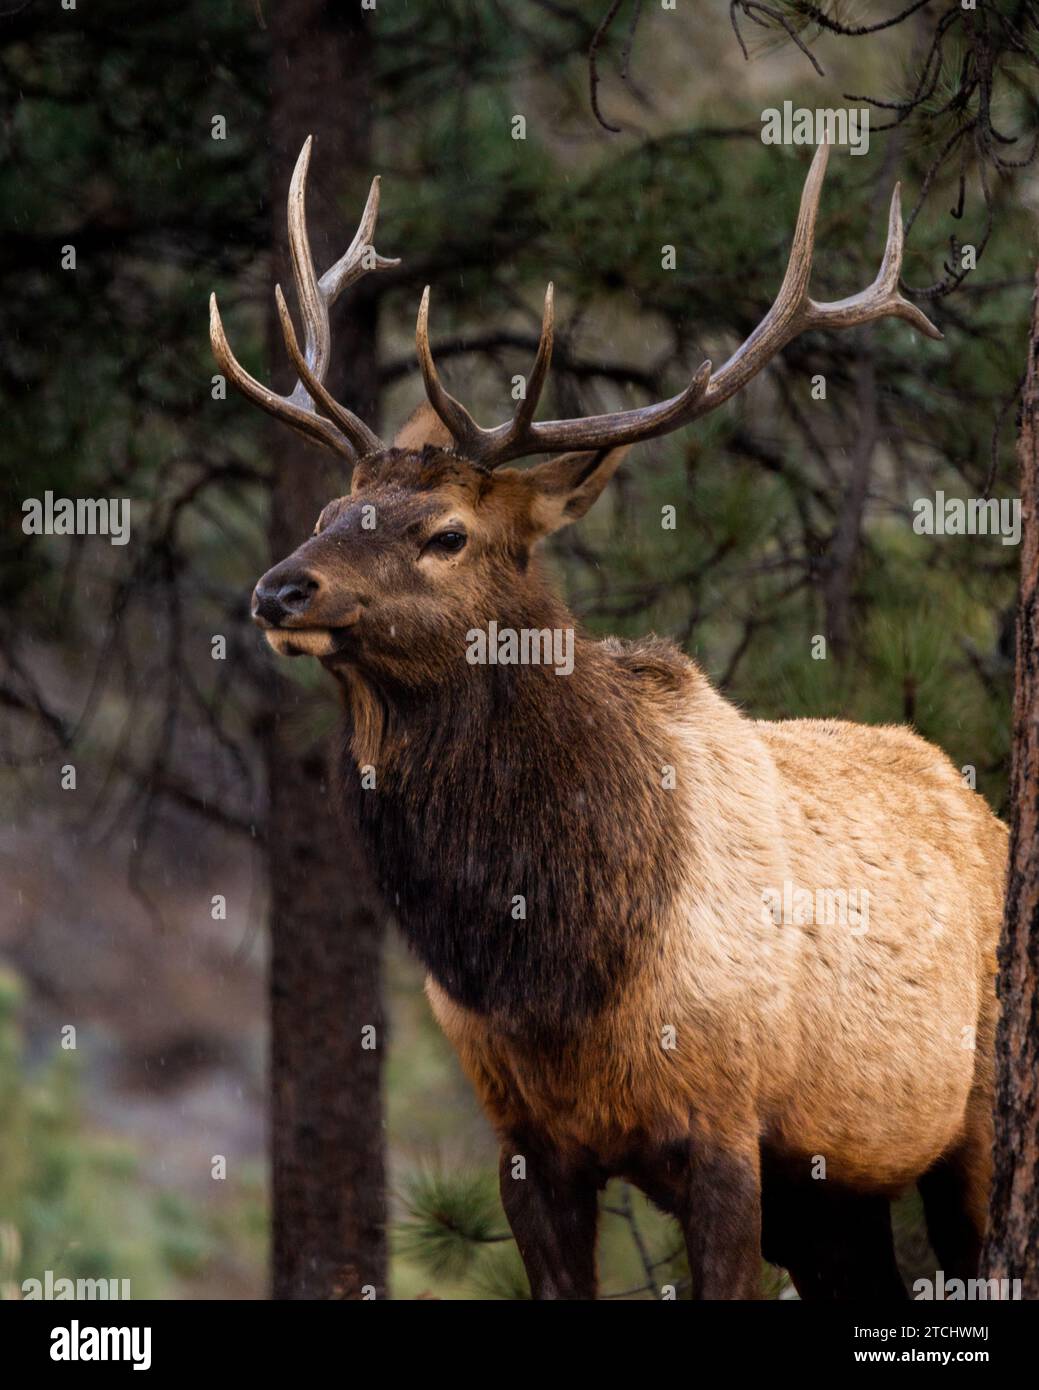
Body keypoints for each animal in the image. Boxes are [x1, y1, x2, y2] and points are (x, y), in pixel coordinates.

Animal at [211, 137, 1008, 1300]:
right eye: (328, 512)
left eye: (444, 533)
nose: (279, 591)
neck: (557, 966)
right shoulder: (526, 1141)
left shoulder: (727, 1128)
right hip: (834, 1198)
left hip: (972, 1122)